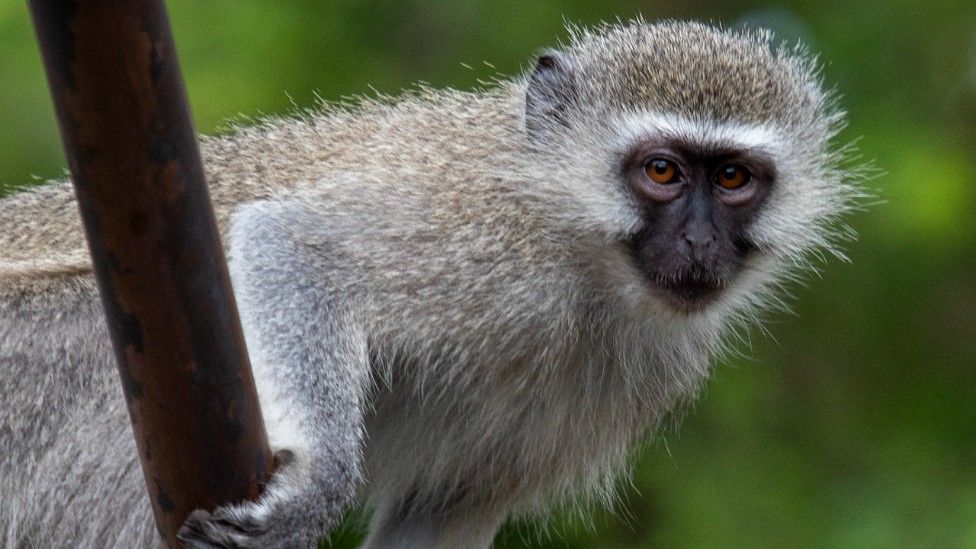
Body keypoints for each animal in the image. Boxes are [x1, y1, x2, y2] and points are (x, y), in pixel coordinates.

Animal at [0, 19, 860, 548]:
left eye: (735, 179)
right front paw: (316, 487)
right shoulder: (476, 237)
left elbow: (439, 513)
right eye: (662, 171)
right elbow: (296, 245)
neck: (582, 258)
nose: (700, 240)